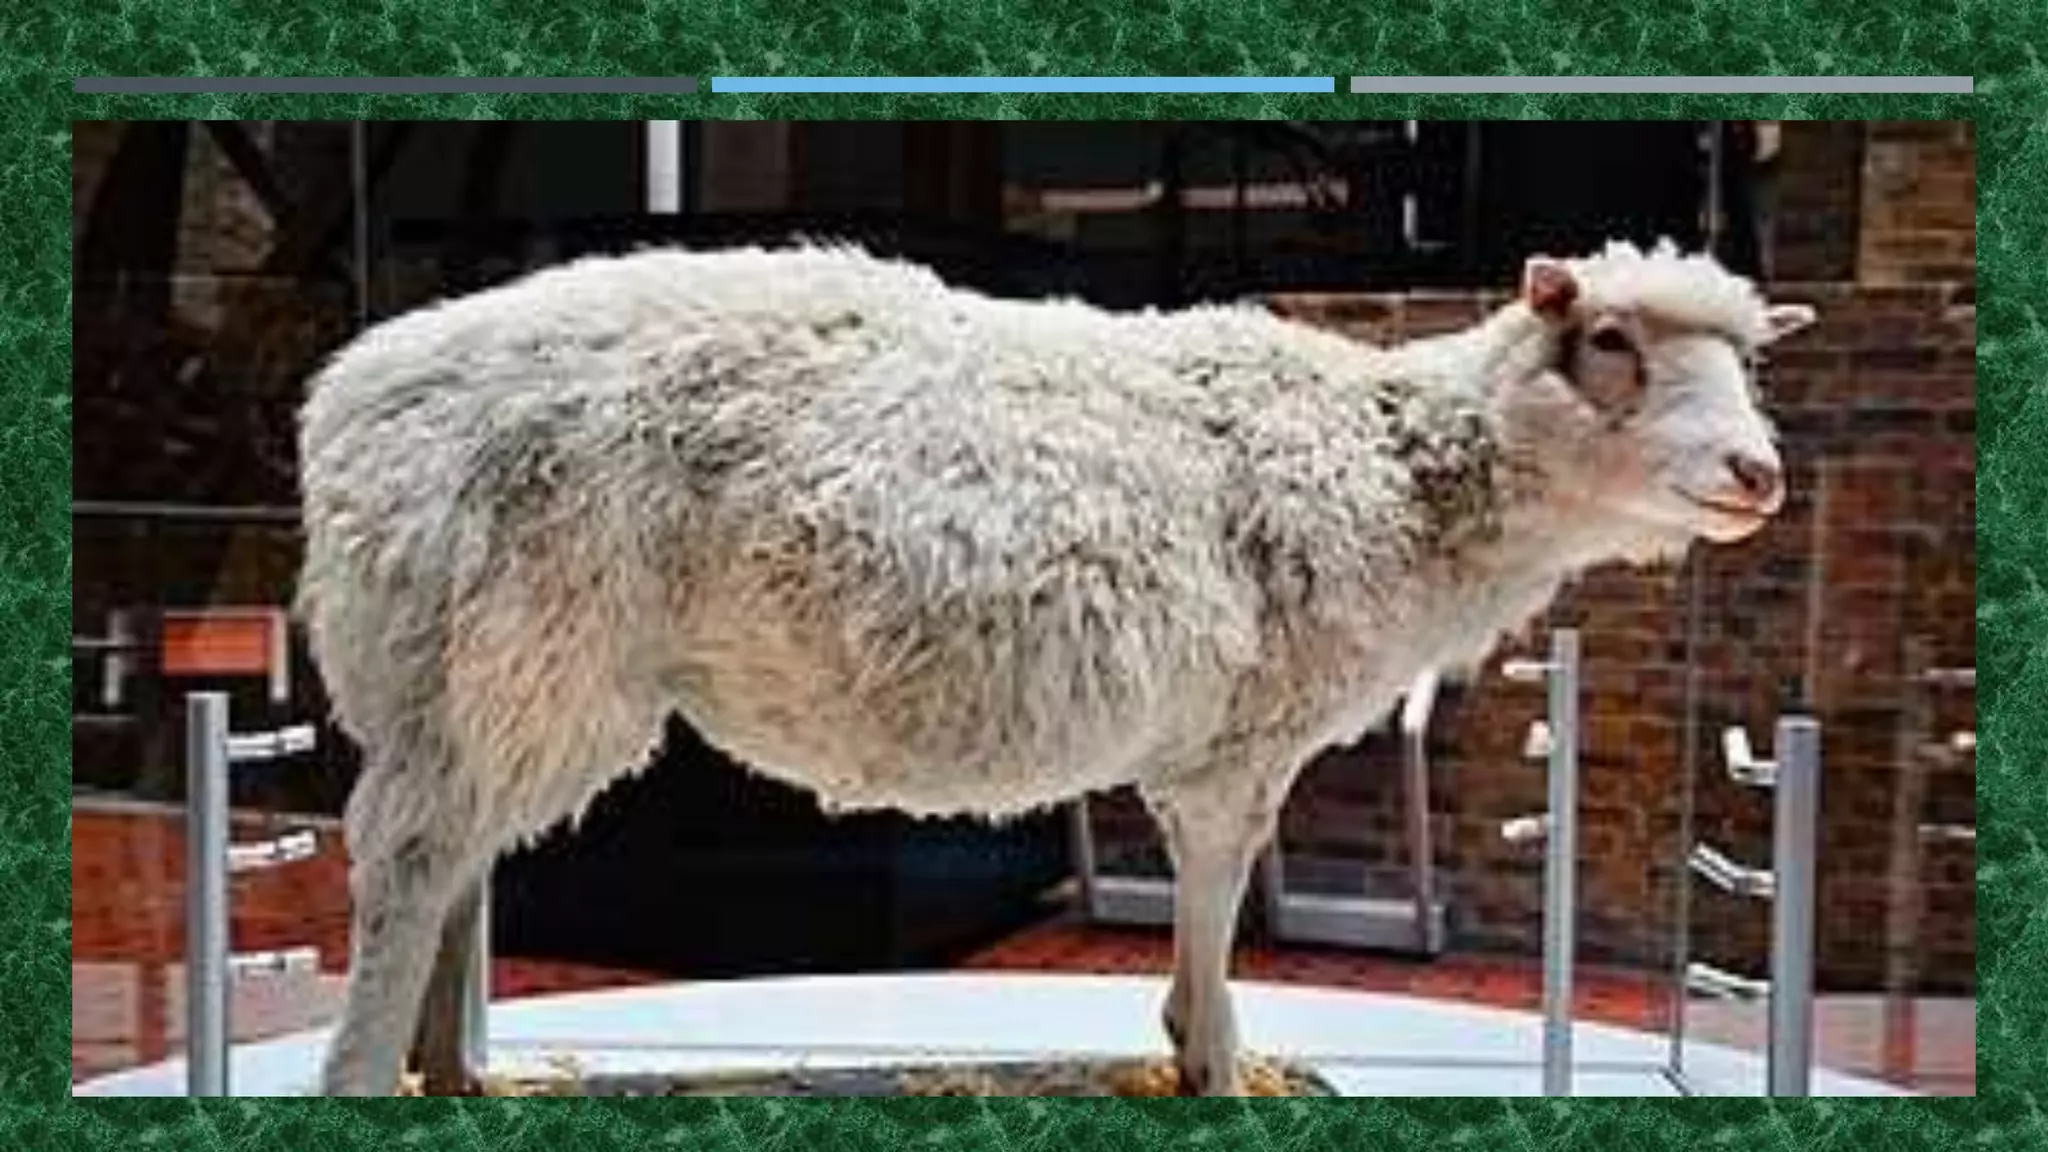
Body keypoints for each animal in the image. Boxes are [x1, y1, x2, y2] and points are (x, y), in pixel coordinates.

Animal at [296, 237, 1817, 1097]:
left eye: (1751, 363)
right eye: (1609, 342)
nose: (1761, 475)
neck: (1396, 465)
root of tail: (348, 401)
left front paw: (1198, 1046)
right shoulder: (1237, 740)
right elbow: (1212, 887)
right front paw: (1213, 1062)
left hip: (469, 675)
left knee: (459, 856)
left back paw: (461, 1072)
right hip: (522, 643)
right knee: (415, 862)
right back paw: (370, 1074)